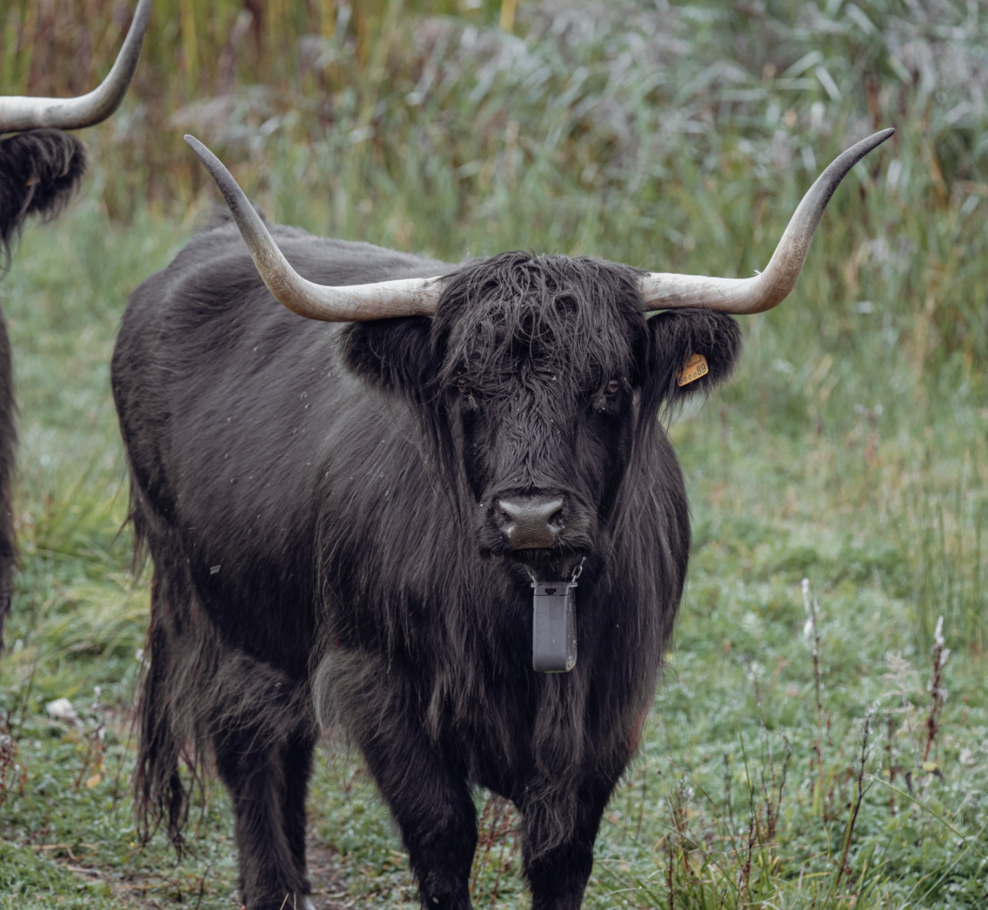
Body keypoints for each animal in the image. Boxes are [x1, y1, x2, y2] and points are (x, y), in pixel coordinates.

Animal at [112, 127, 892, 910]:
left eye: (609, 386)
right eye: (463, 388)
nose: (531, 515)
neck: (532, 601)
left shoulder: (611, 713)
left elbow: (561, 856)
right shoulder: (379, 685)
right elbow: (442, 832)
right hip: (215, 604)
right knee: (249, 740)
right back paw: (274, 888)